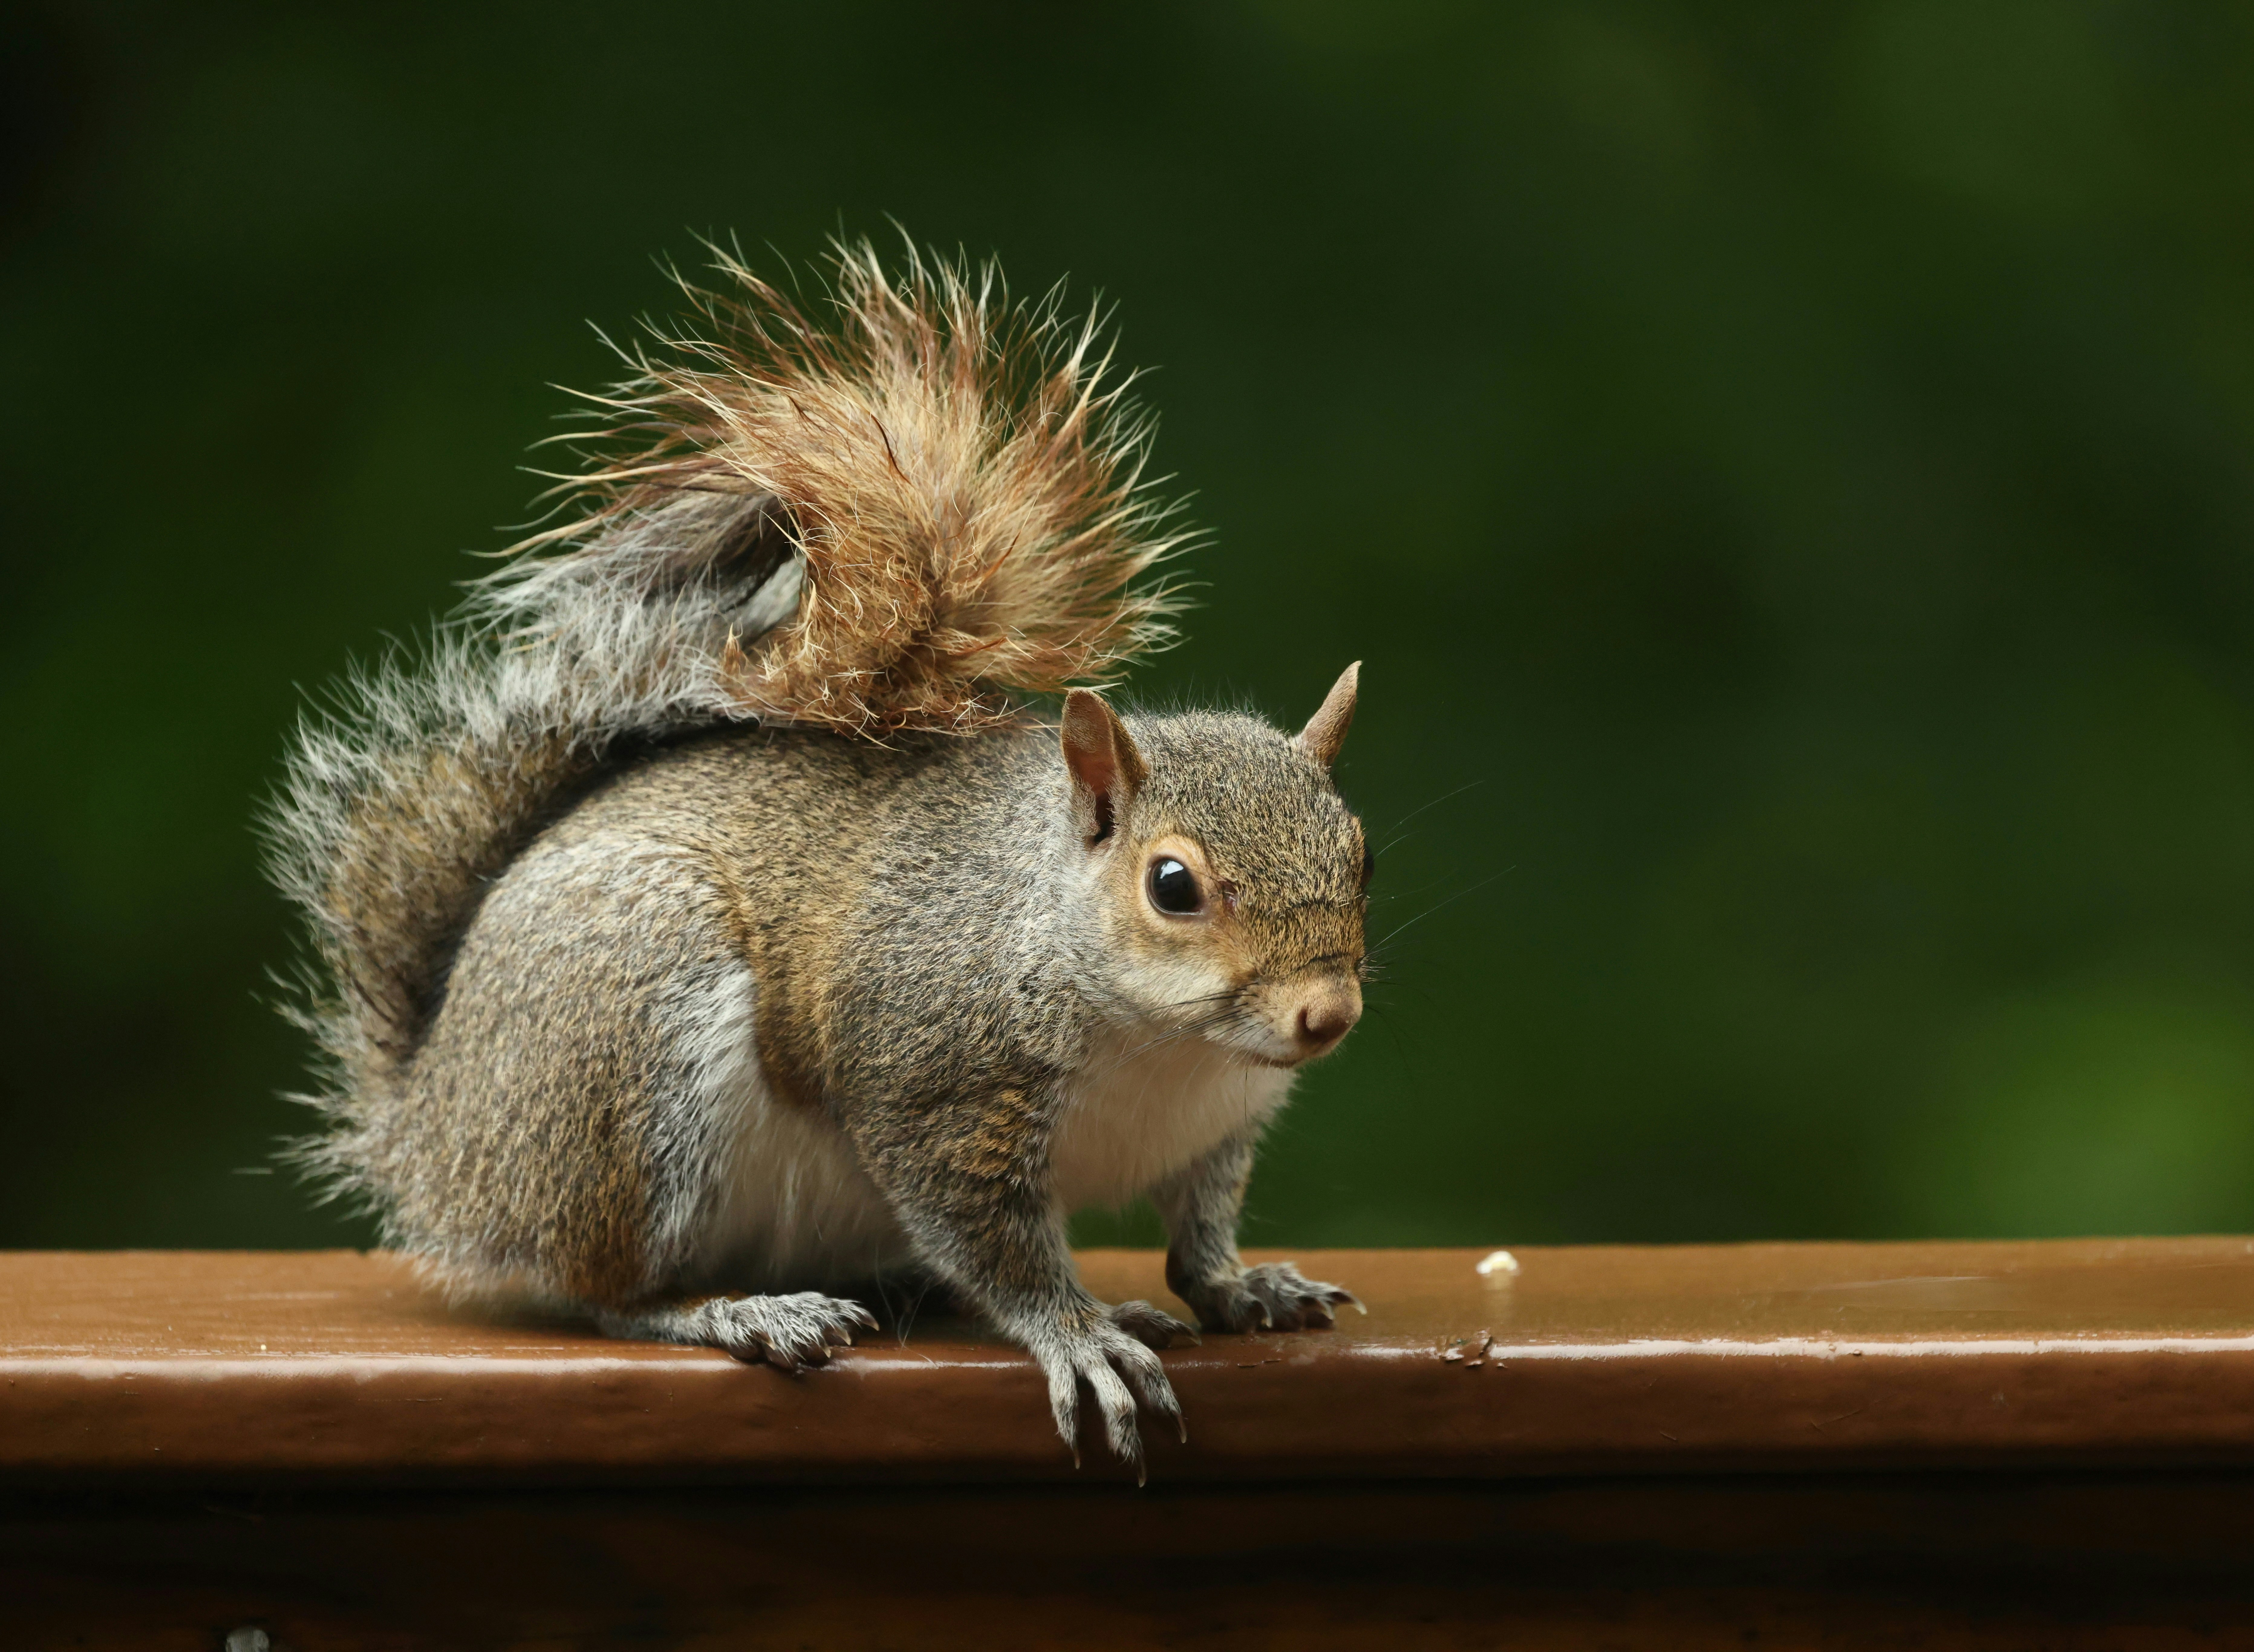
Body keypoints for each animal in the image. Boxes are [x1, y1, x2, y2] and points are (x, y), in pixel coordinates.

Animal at [265, 241, 1372, 1471]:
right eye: (1172, 886)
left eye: (1361, 854)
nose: (1327, 1014)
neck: (1161, 1042)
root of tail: (431, 1135)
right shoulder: (926, 1088)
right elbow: (997, 1248)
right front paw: (1077, 1333)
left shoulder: (1217, 1128)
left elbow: (1197, 1232)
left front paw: (1239, 1288)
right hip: (629, 1044)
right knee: (607, 1289)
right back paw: (738, 1312)